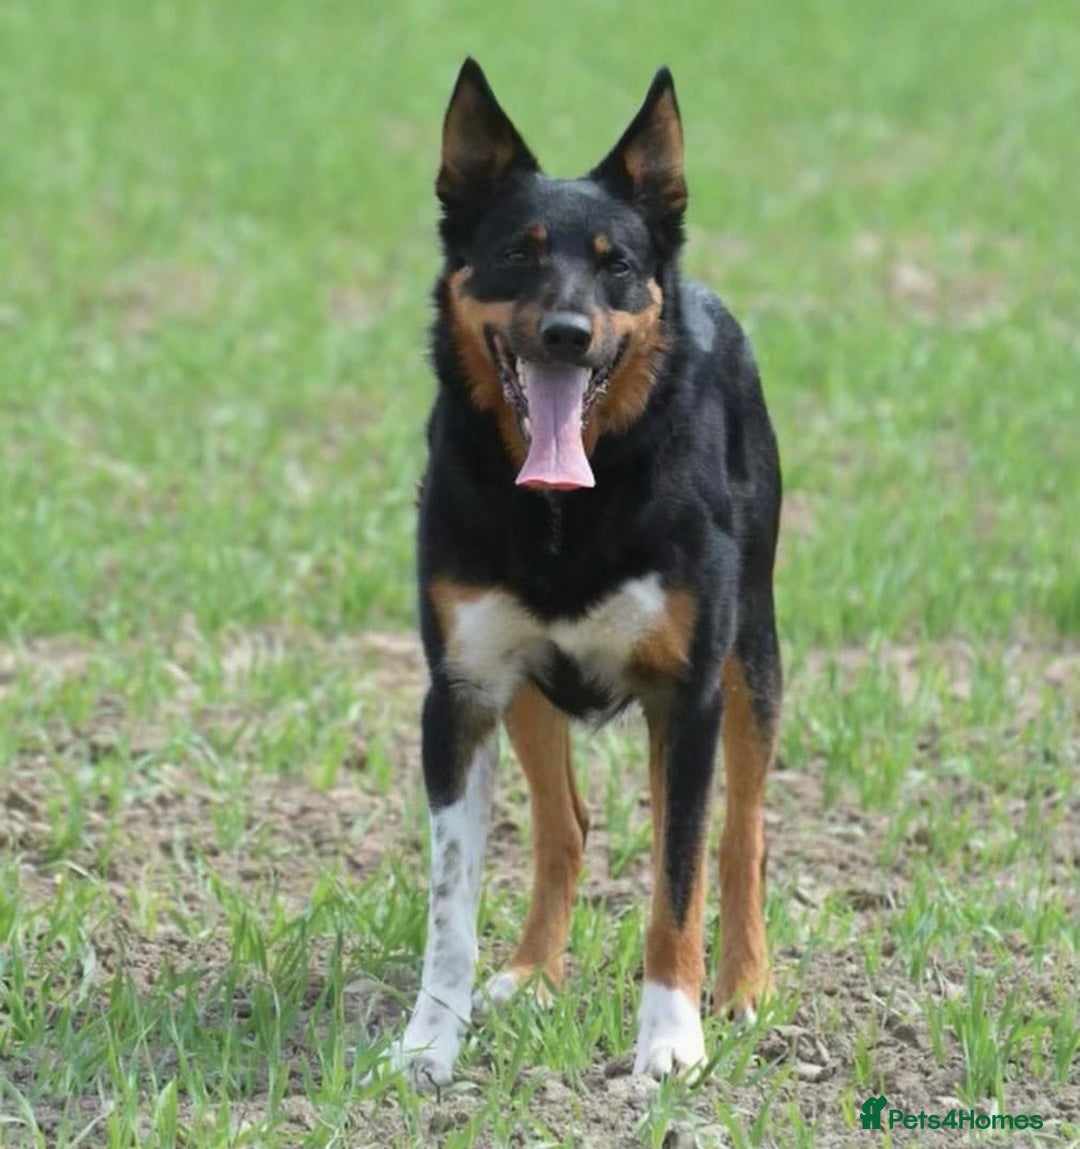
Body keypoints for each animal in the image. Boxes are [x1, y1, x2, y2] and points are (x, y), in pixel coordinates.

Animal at [393, 58, 782, 1089]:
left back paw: (746, 986)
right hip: (527, 687)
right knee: (564, 825)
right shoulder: (460, 690)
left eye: (615, 264)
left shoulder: (686, 694)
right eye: (517, 254)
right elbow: (451, 903)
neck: (564, 507)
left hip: (754, 656)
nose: (568, 331)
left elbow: (679, 878)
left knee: (741, 835)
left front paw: (672, 1038)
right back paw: (532, 972)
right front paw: (428, 1042)